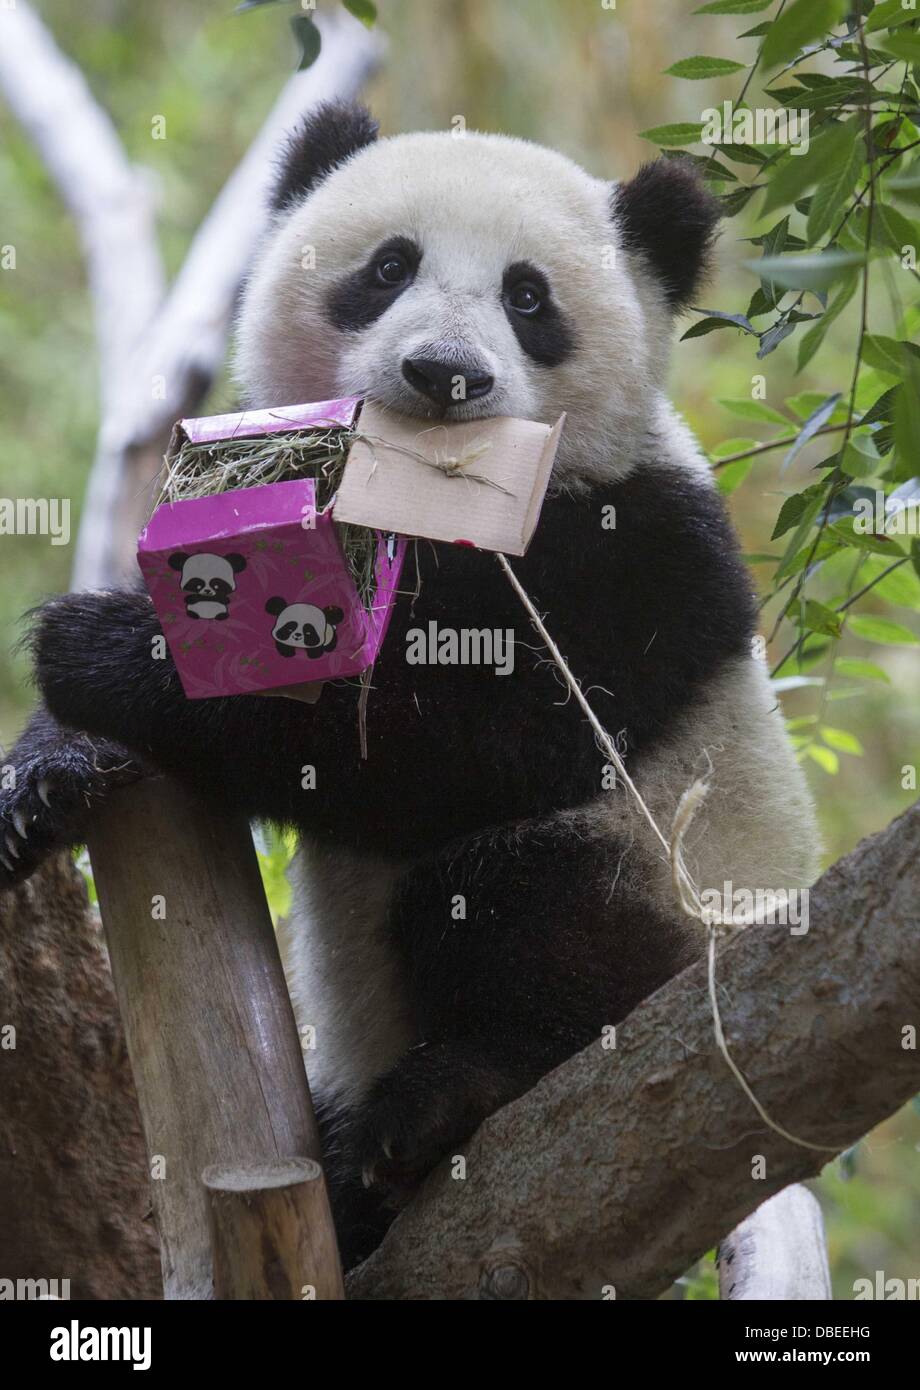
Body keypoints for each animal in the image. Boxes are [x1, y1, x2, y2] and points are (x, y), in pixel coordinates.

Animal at [1, 101, 819, 1270]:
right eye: (389, 267)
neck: (436, 498)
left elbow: (454, 747)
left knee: (526, 898)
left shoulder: (641, 552)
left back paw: (454, 1094)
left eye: (528, 298)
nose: (445, 374)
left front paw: (104, 650)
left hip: (682, 898)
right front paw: (48, 776)